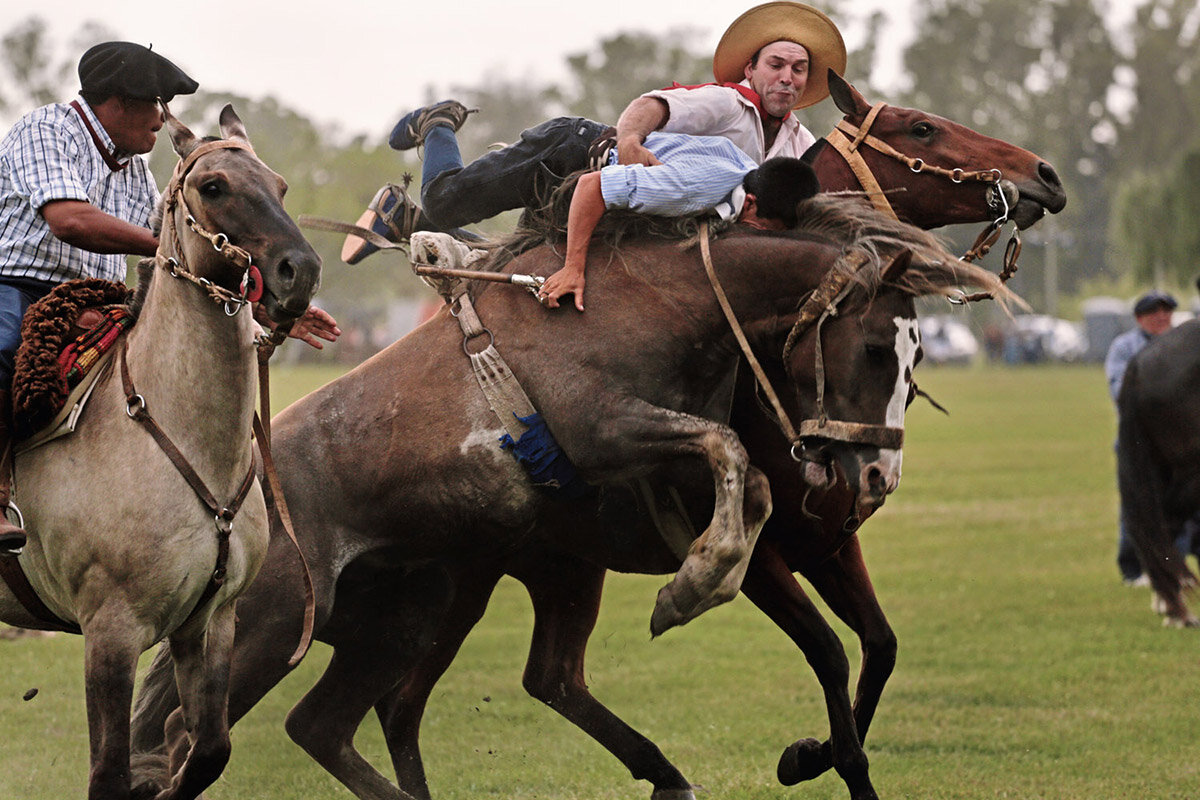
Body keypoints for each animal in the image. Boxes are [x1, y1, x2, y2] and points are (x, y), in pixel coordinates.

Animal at [0, 106, 321, 800]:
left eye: (281, 186)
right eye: (214, 186)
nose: (301, 274)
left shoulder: (209, 623)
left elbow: (209, 750)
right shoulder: (111, 633)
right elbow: (109, 773)